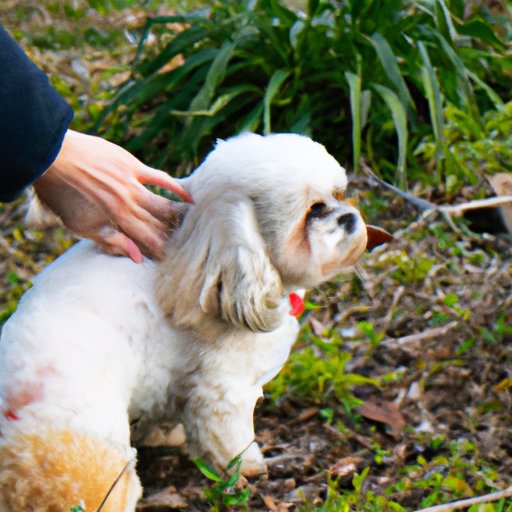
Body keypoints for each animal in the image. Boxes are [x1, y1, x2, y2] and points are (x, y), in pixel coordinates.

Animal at [0, 133, 388, 512]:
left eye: (338, 195)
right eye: (312, 212)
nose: (348, 218)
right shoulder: (223, 390)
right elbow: (230, 440)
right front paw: (249, 468)